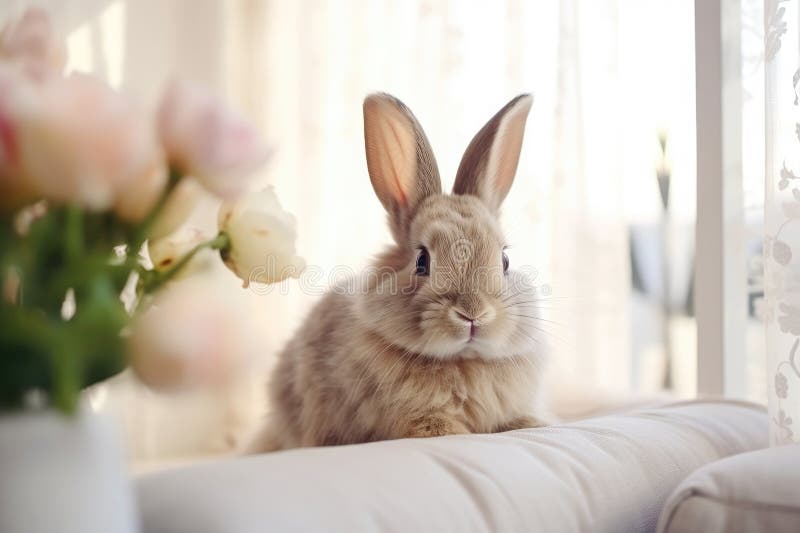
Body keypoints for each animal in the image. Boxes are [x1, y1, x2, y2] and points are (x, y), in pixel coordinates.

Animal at [246, 92, 549, 452]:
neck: (462, 361)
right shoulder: (416, 419)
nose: (473, 313)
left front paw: (535, 424)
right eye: (422, 260)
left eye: (504, 261)